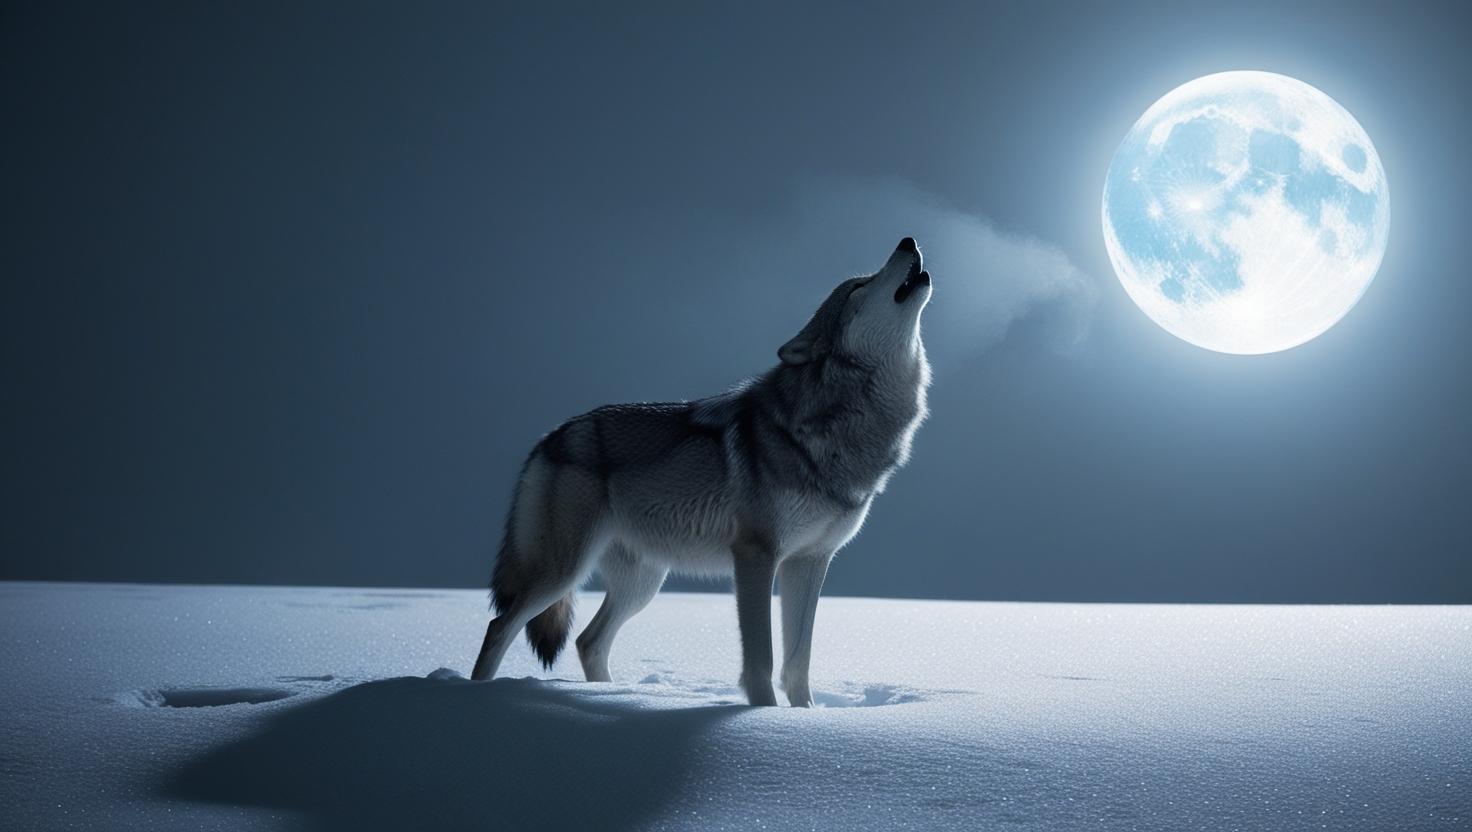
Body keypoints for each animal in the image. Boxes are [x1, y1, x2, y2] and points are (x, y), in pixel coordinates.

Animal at [470, 237, 932, 706]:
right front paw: (764, 713)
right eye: (860, 285)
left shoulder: (809, 562)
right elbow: (762, 659)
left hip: (641, 584)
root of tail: (551, 435)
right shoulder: (755, 555)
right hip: (565, 571)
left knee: (587, 641)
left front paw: (802, 715)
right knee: (499, 627)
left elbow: (798, 662)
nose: (908, 240)